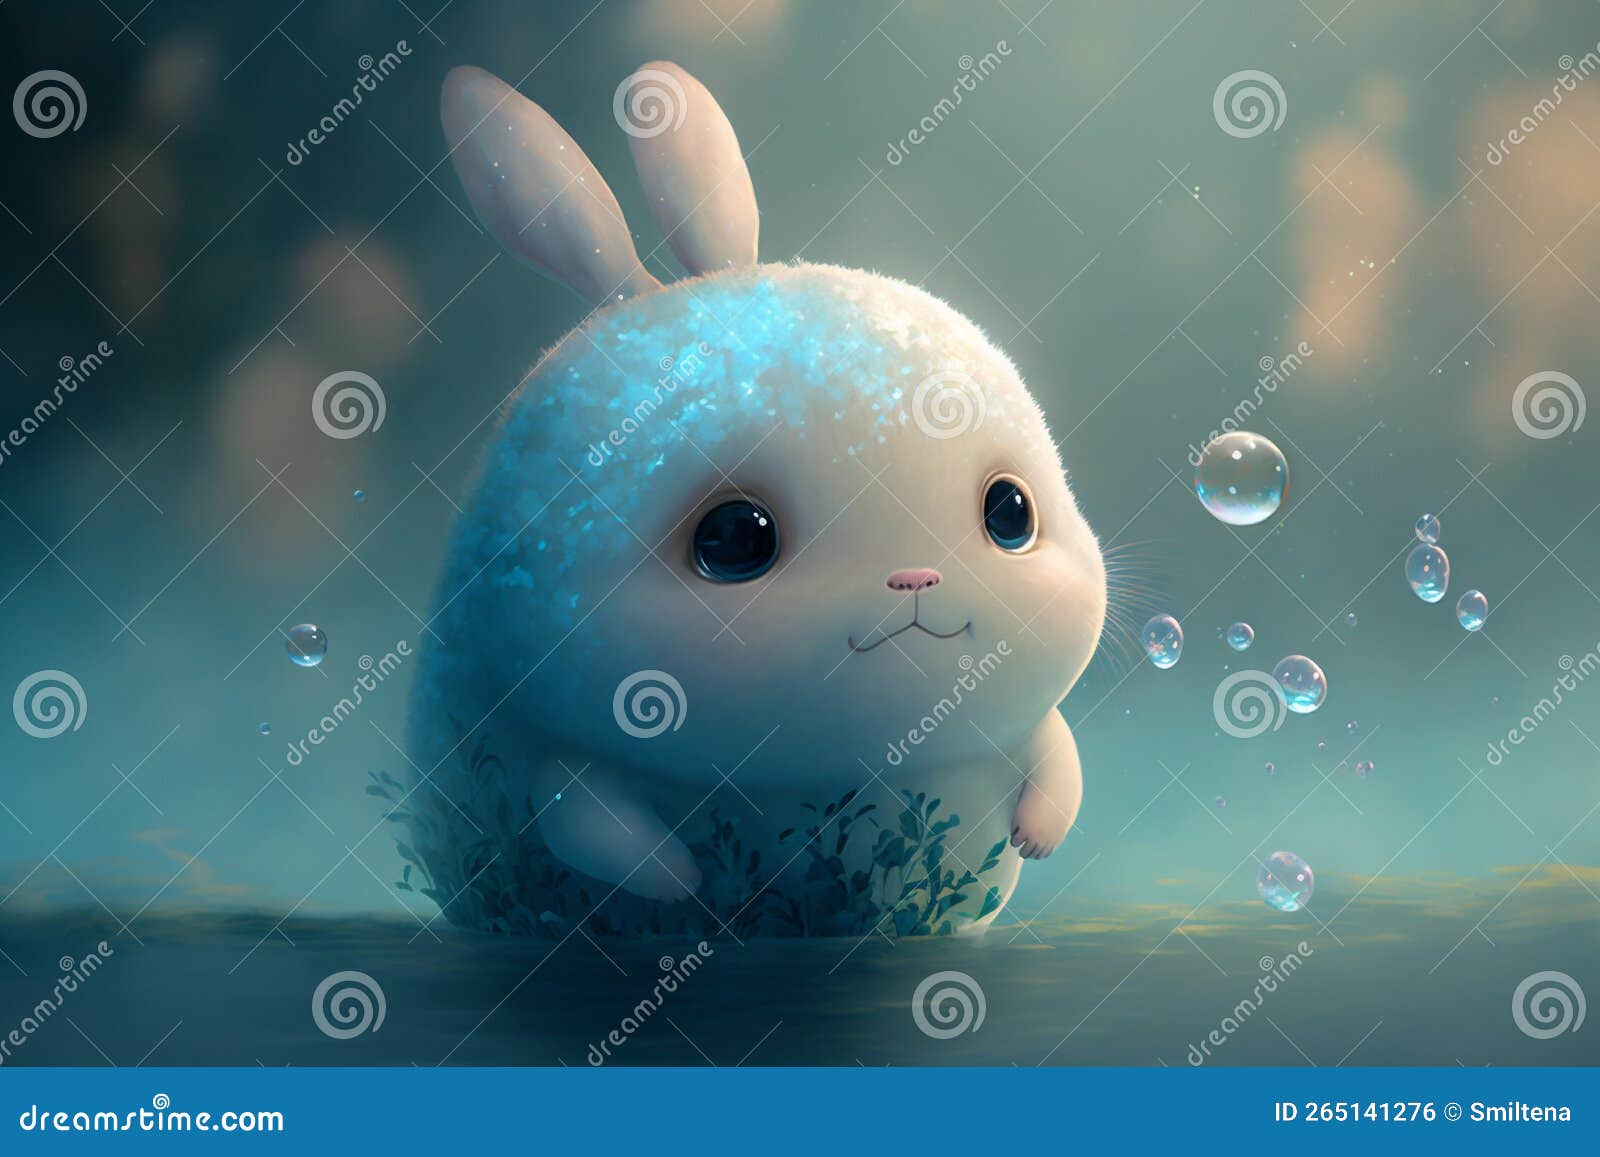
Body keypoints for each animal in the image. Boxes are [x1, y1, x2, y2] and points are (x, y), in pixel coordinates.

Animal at [403, 61, 1106, 934]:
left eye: (1011, 514)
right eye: (735, 539)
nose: (917, 577)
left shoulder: (1026, 729)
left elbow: (1060, 756)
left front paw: (1038, 836)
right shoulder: (547, 733)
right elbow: (587, 818)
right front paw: (676, 882)